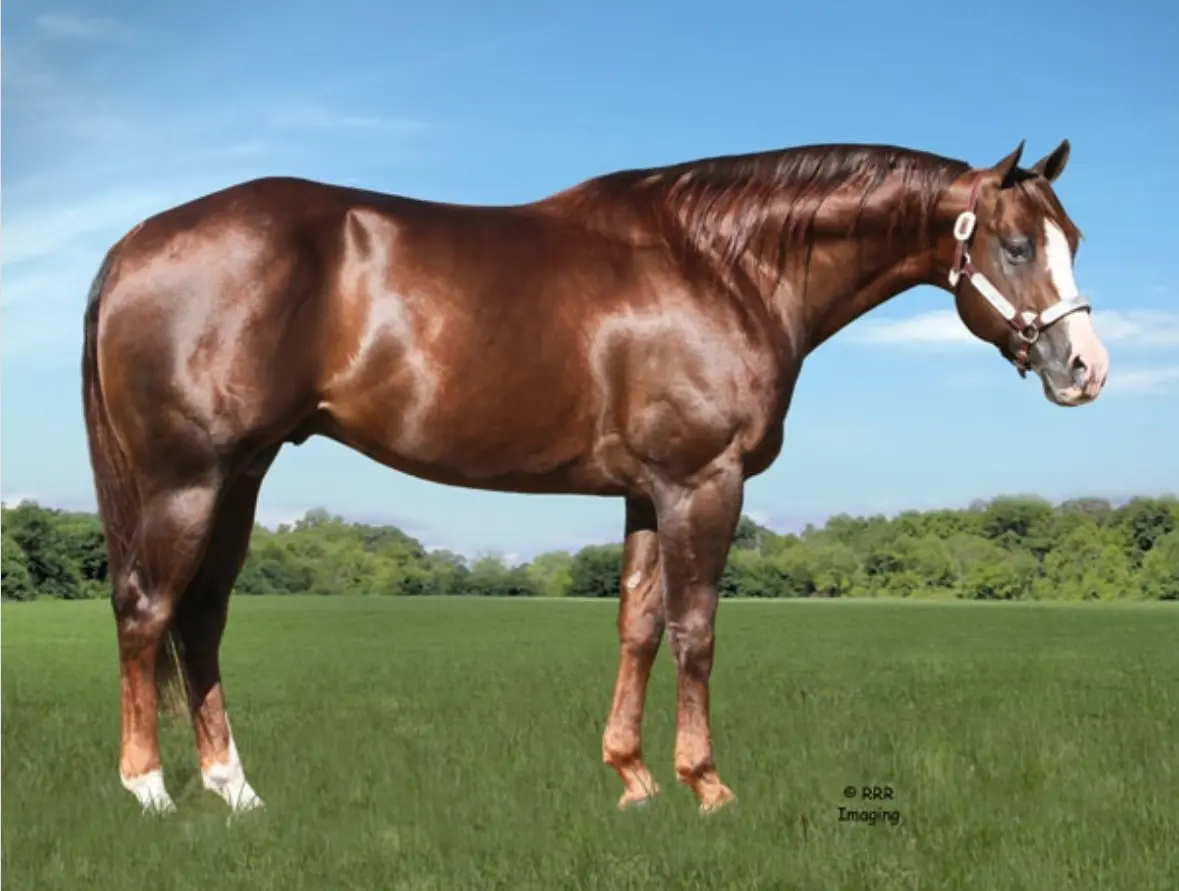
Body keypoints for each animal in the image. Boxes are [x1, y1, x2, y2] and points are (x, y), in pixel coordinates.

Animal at [81, 137, 1109, 817]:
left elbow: (638, 627)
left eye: (1073, 236)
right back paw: (149, 789)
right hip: (188, 479)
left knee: (200, 618)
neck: (720, 265)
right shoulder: (703, 482)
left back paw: (235, 789)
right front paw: (708, 786)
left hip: (240, 476)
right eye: (1017, 245)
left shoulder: (646, 492)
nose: (1085, 369)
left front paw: (633, 778)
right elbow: (696, 631)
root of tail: (135, 241)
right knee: (147, 611)